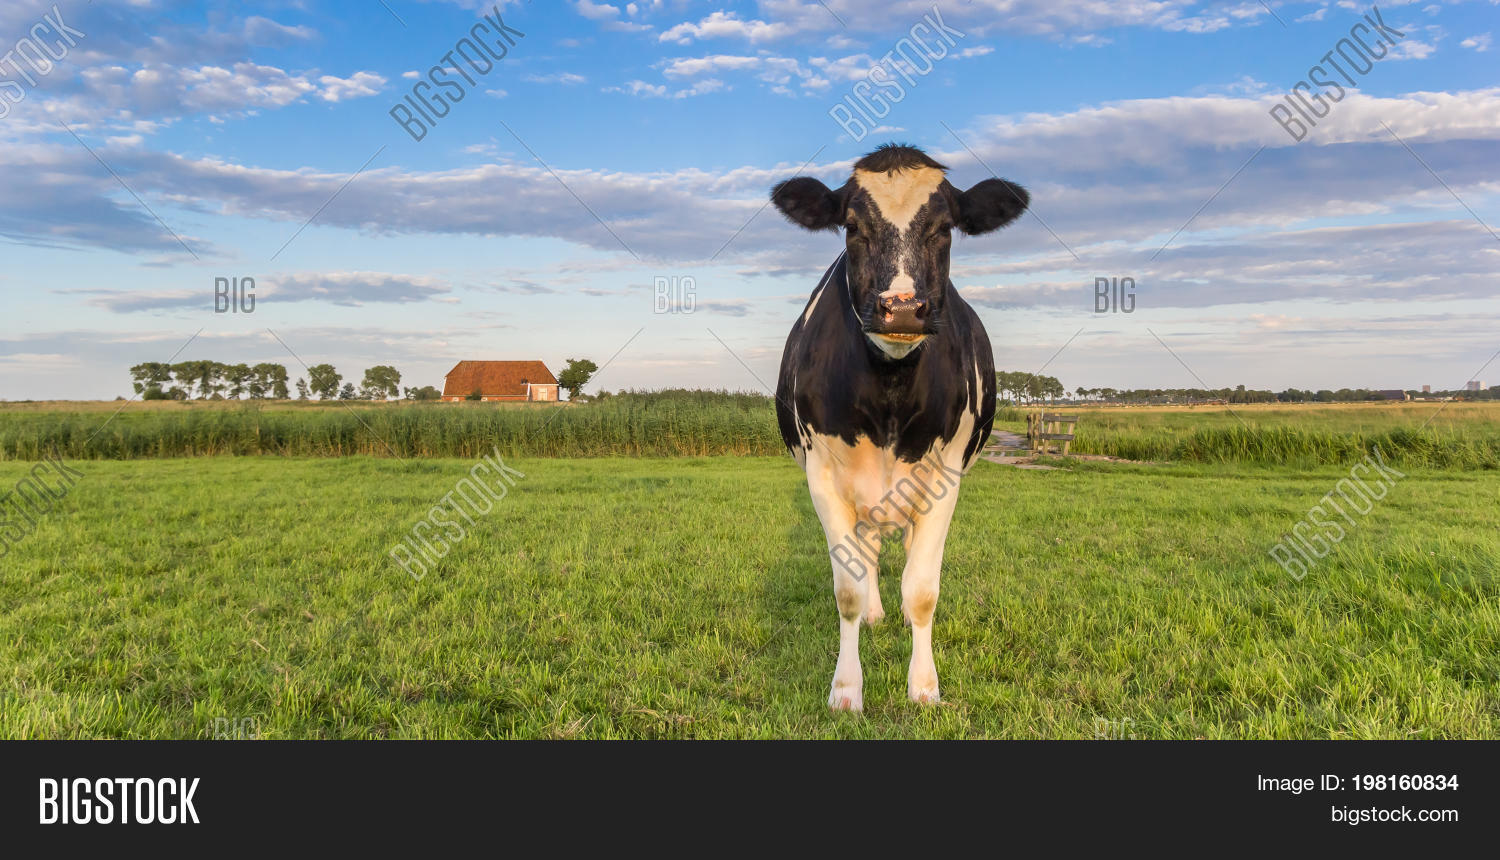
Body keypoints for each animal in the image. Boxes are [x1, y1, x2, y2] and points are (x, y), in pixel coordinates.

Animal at [770, 144, 1028, 710]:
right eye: (851, 226)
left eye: (945, 228)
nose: (902, 308)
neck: (889, 387)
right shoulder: (822, 476)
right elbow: (846, 587)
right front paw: (846, 690)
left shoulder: (945, 477)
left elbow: (923, 589)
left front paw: (924, 687)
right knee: (866, 552)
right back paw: (873, 614)